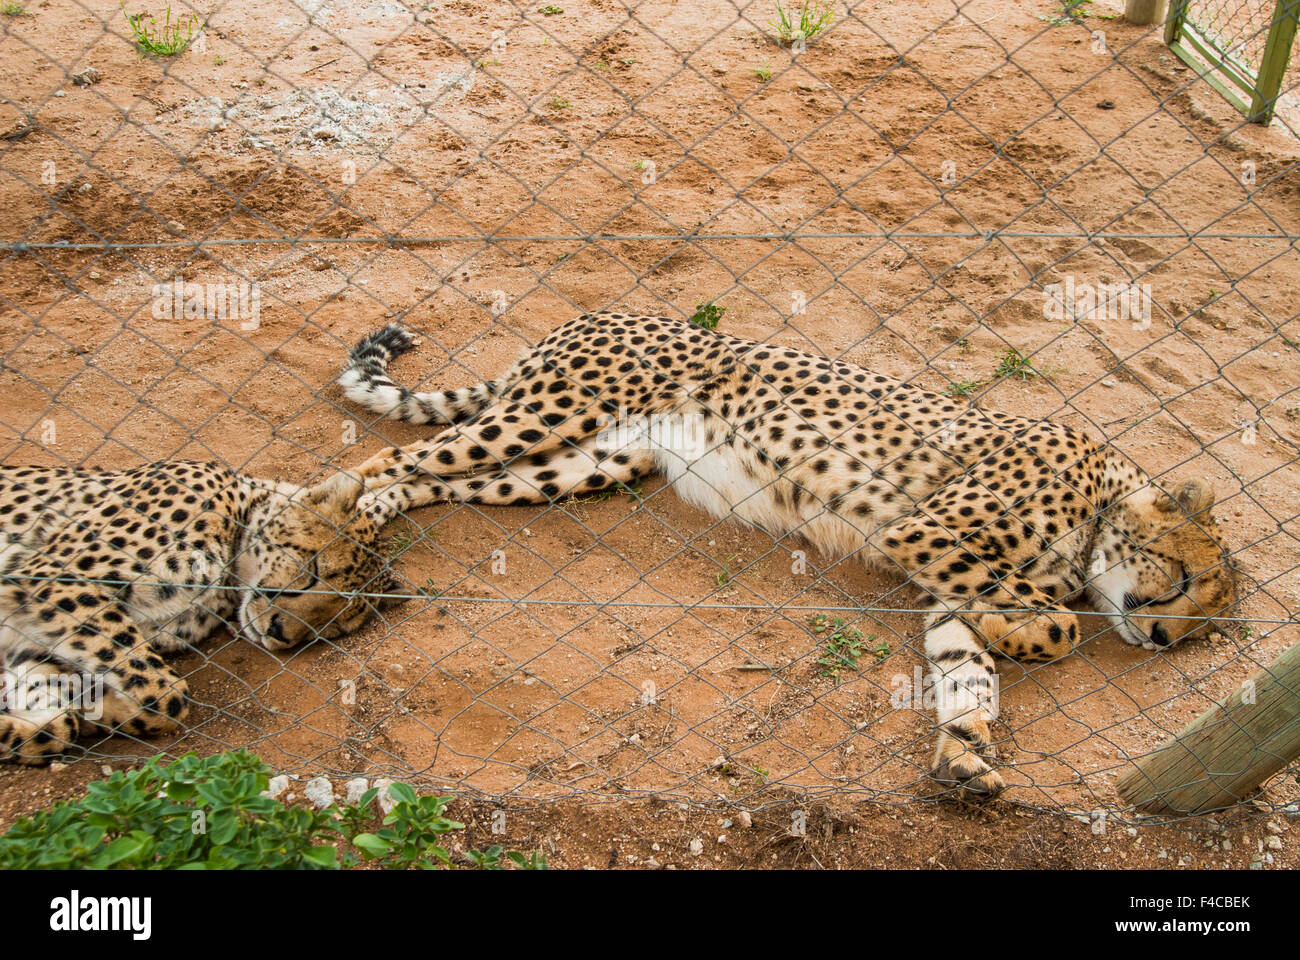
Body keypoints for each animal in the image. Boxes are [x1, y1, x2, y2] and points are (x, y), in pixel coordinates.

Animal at [0, 461, 394, 764]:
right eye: (313, 570)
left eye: (332, 626)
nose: (279, 633)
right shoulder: (55, 579)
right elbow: (167, 693)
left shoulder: (30, 637)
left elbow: (65, 723)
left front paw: (86, 711)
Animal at [337, 311, 1238, 800]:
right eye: (1186, 579)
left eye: (1200, 630)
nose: (1165, 638)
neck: (1103, 500)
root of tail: (602, 315)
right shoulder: (922, 532)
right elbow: (1059, 628)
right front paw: (1021, 629)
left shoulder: (943, 587)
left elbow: (965, 669)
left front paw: (965, 751)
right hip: (549, 412)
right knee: (388, 458)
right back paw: (342, 531)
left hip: (584, 464)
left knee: (433, 478)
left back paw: (373, 521)